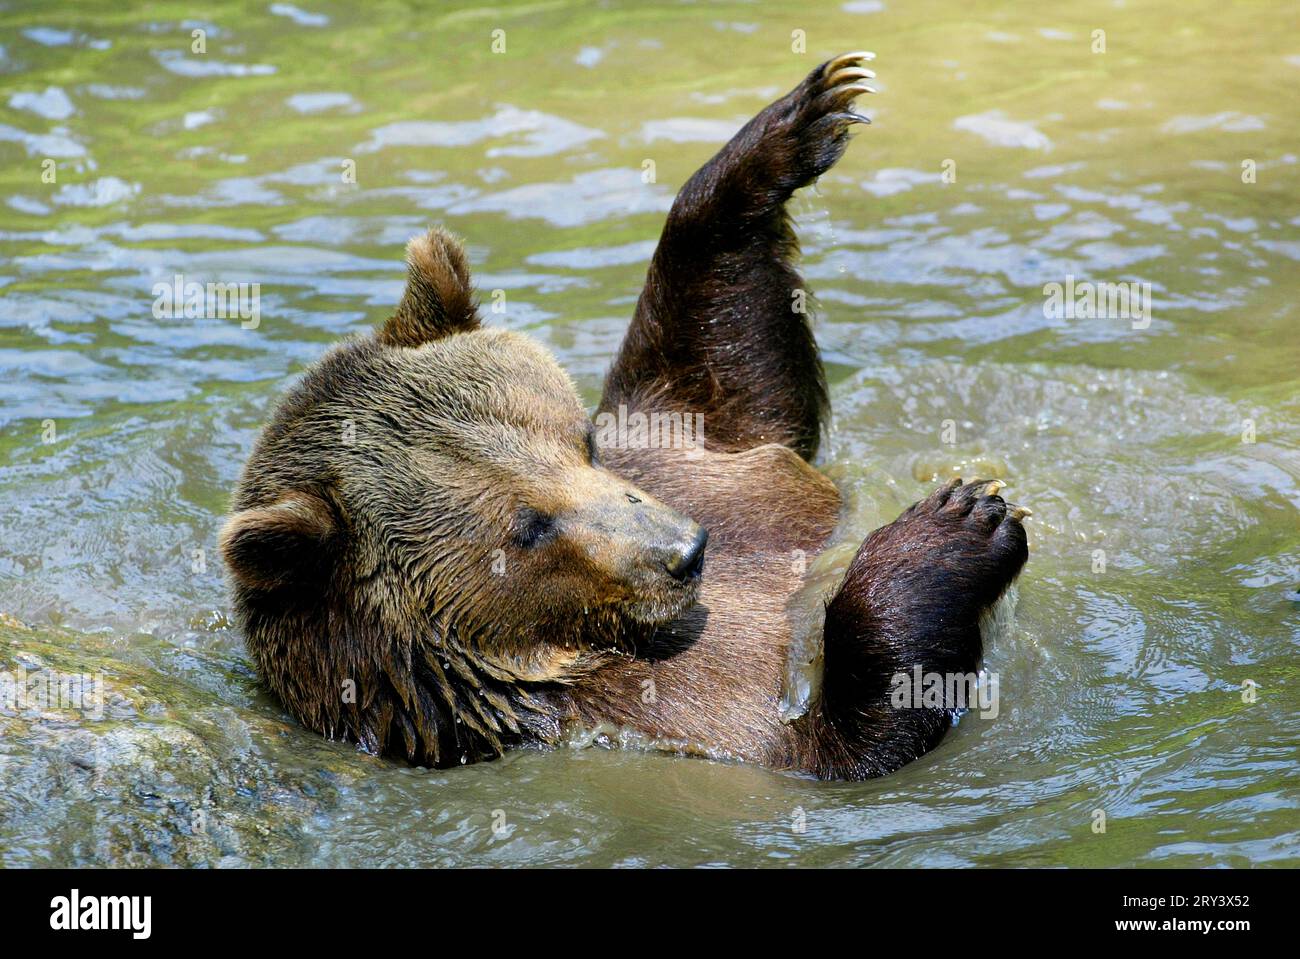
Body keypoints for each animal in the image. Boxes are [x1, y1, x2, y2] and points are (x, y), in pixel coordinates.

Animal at [220, 52, 1029, 781]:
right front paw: (956, 524)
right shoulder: (652, 716)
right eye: (526, 527)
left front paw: (802, 117)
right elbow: (843, 742)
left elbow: (720, 385)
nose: (685, 550)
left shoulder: (689, 458)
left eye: (580, 441)